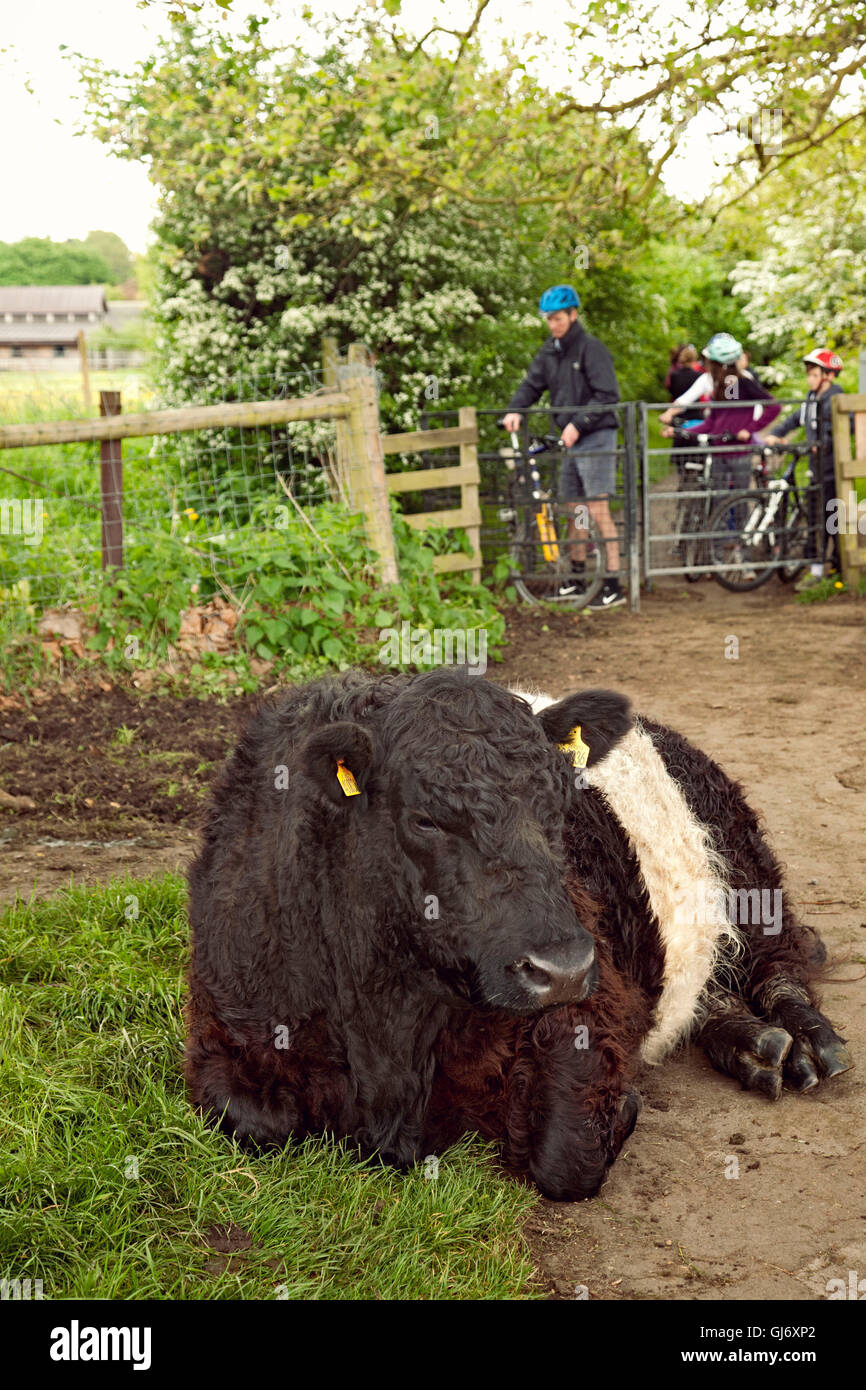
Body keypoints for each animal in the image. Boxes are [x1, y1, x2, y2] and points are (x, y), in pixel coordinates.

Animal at [185, 667, 851, 1201]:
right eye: (424, 819)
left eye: (561, 803)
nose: (564, 967)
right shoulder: (226, 1024)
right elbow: (249, 1118)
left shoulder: (587, 1007)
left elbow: (567, 1161)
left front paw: (620, 1112)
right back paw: (755, 1046)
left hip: (747, 873)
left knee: (779, 962)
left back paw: (807, 1041)